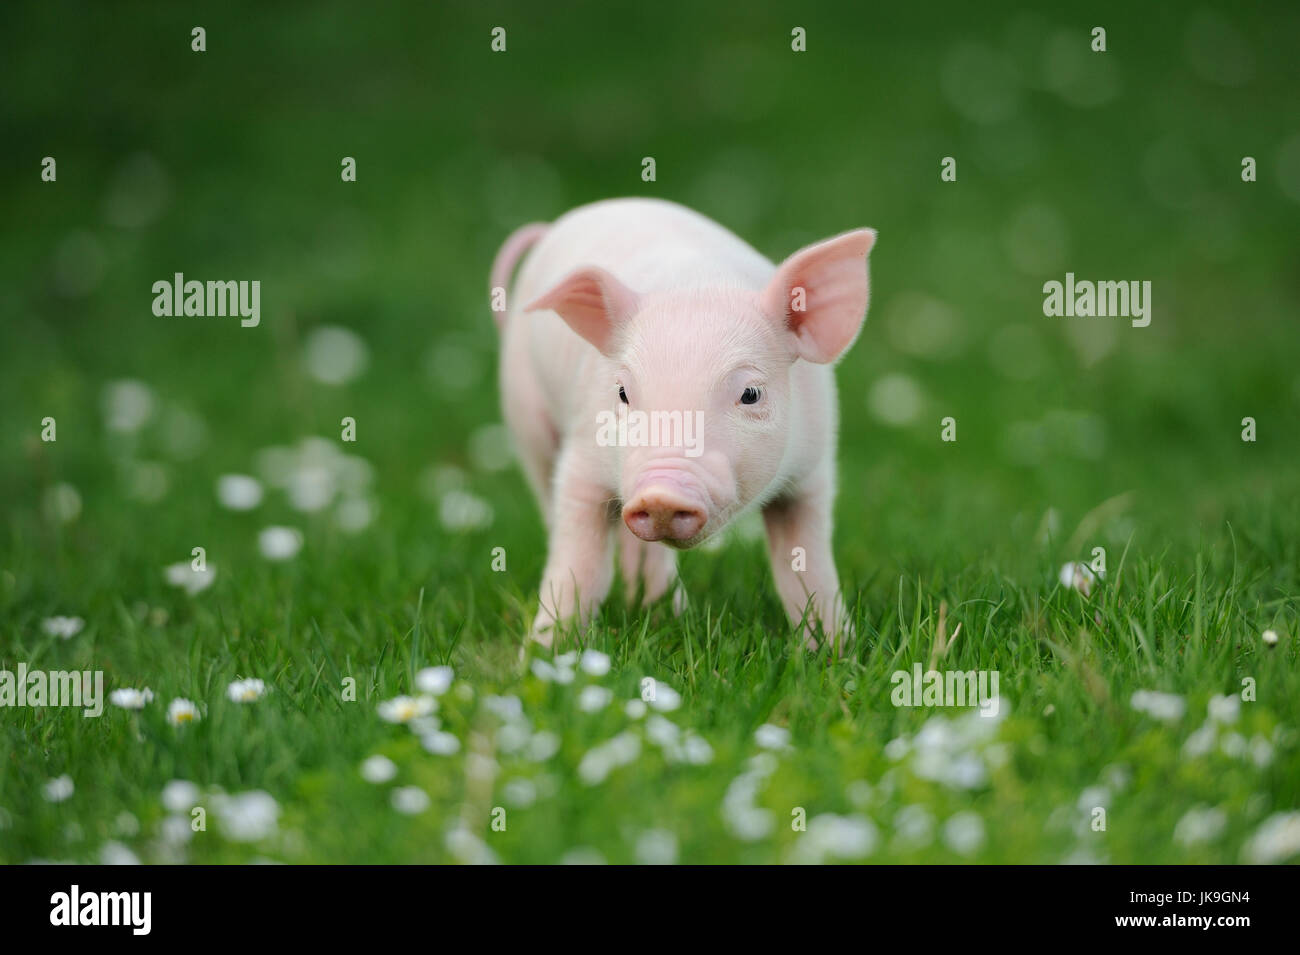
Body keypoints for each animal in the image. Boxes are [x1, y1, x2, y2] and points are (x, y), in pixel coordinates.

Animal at [489, 198, 876, 652]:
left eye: (751, 393)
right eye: (623, 392)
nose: (660, 493)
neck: (699, 285)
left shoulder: (813, 470)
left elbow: (807, 567)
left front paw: (838, 651)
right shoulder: (582, 454)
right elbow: (578, 564)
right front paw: (544, 653)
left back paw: (661, 614)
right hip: (524, 413)